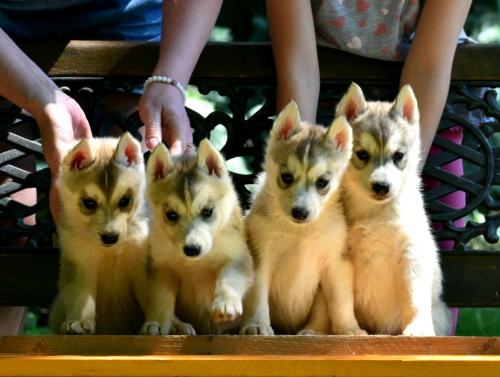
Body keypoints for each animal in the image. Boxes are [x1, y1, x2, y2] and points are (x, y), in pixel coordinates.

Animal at [49, 131, 149, 332]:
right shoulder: (78, 261)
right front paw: (78, 321)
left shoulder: (141, 261)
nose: (110, 237)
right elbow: (80, 295)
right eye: (89, 203)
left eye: (124, 201)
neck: (109, 251)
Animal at [142, 140, 254, 334]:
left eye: (207, 212)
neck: (196, 262)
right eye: (171, 215)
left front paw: (225, 302)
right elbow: (160, 297)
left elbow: (229, 278)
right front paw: (156, 322)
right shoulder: (161, 267)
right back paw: (179, 326)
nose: (192, 249)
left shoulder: (237, 256)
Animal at [238, 100, 364, 334]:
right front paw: (257, 325)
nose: (300, 212)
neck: (300, 232)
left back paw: (312, 331)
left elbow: (341, 300)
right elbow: (257, 295)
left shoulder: (336, 262)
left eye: (322, 182)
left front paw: (348, 329)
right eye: (286, 177)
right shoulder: (260, 255)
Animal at [338, 83, 452, 334]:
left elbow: (414, 298)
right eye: (362, 154)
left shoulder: (411, 252)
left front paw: (418, 327)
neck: (375, 213)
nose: (381, 186)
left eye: (399, 155)